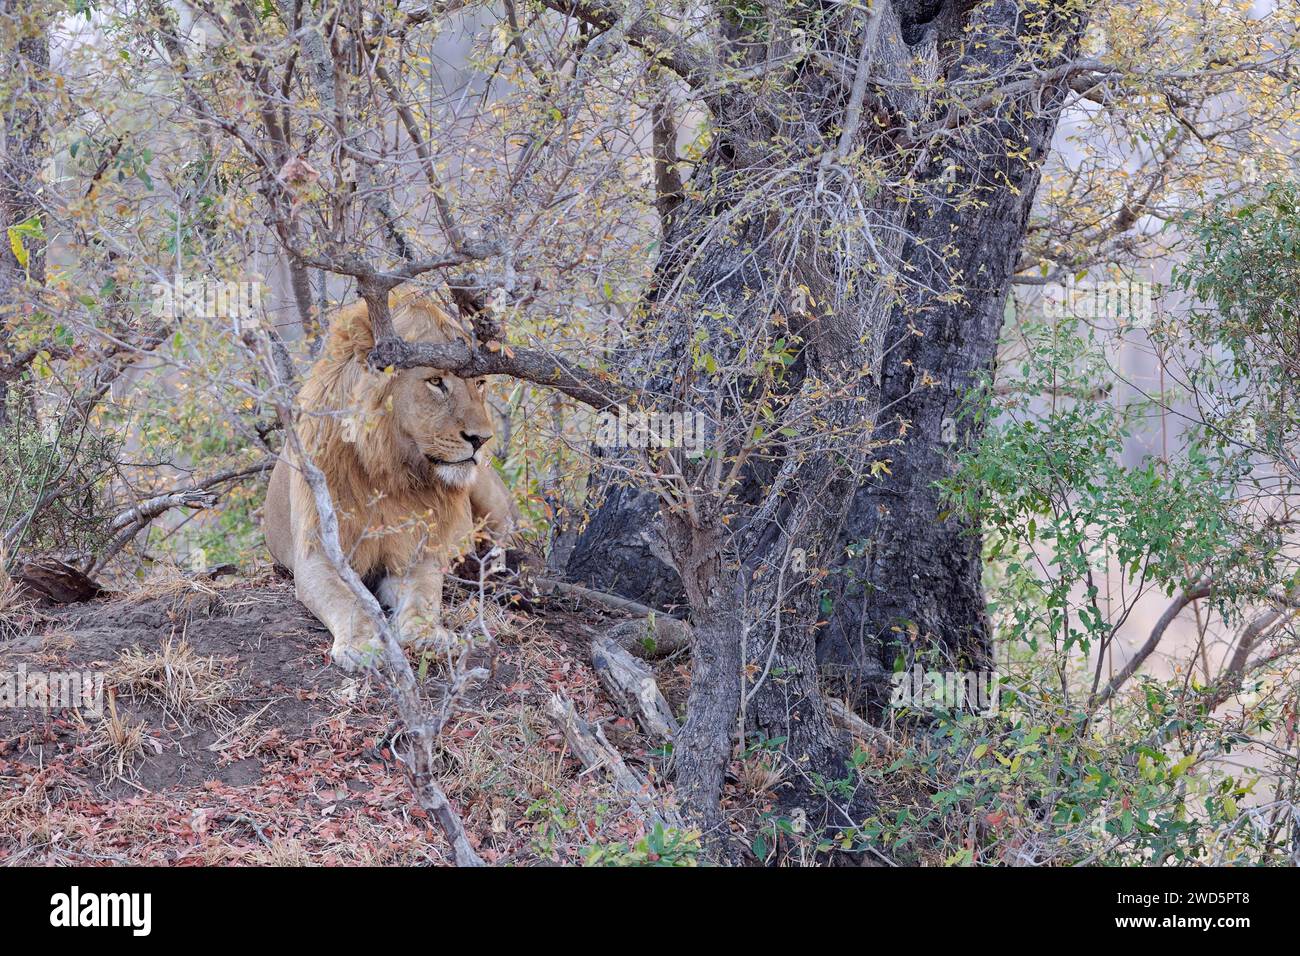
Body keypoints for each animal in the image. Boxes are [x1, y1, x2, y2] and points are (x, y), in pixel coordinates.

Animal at [263, 287, 518, 670]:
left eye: (481, 383)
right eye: (436, 381)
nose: (482, 439)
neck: (390, 468)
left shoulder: (416, 552)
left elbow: (423, 596)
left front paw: (427, 634)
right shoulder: (316, 554)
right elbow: (348, 601)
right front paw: (362, 644)